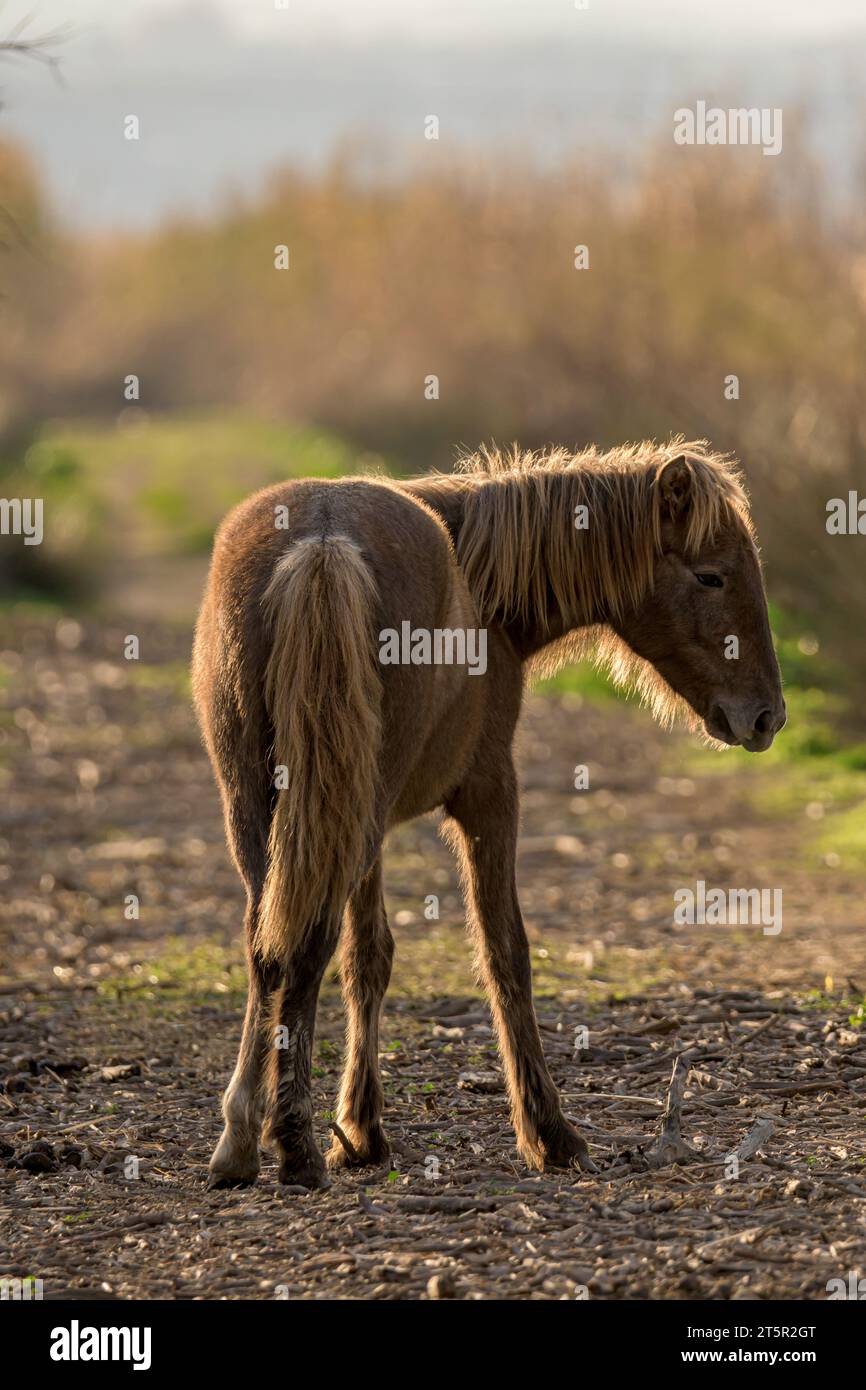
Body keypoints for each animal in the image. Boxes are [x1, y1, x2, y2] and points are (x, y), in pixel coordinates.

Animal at [191, 437, 786, 1189]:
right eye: (711, 576)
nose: (766, 714)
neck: (485, 595)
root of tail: (321, 542)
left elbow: (369, 958)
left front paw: (360, 1131)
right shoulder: (489, 795)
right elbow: (506, 952)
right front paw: (550, 1133)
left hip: (264, 807)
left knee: (267, 944)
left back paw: (241, 1140)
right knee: (305, 944)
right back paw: (292, 1142)